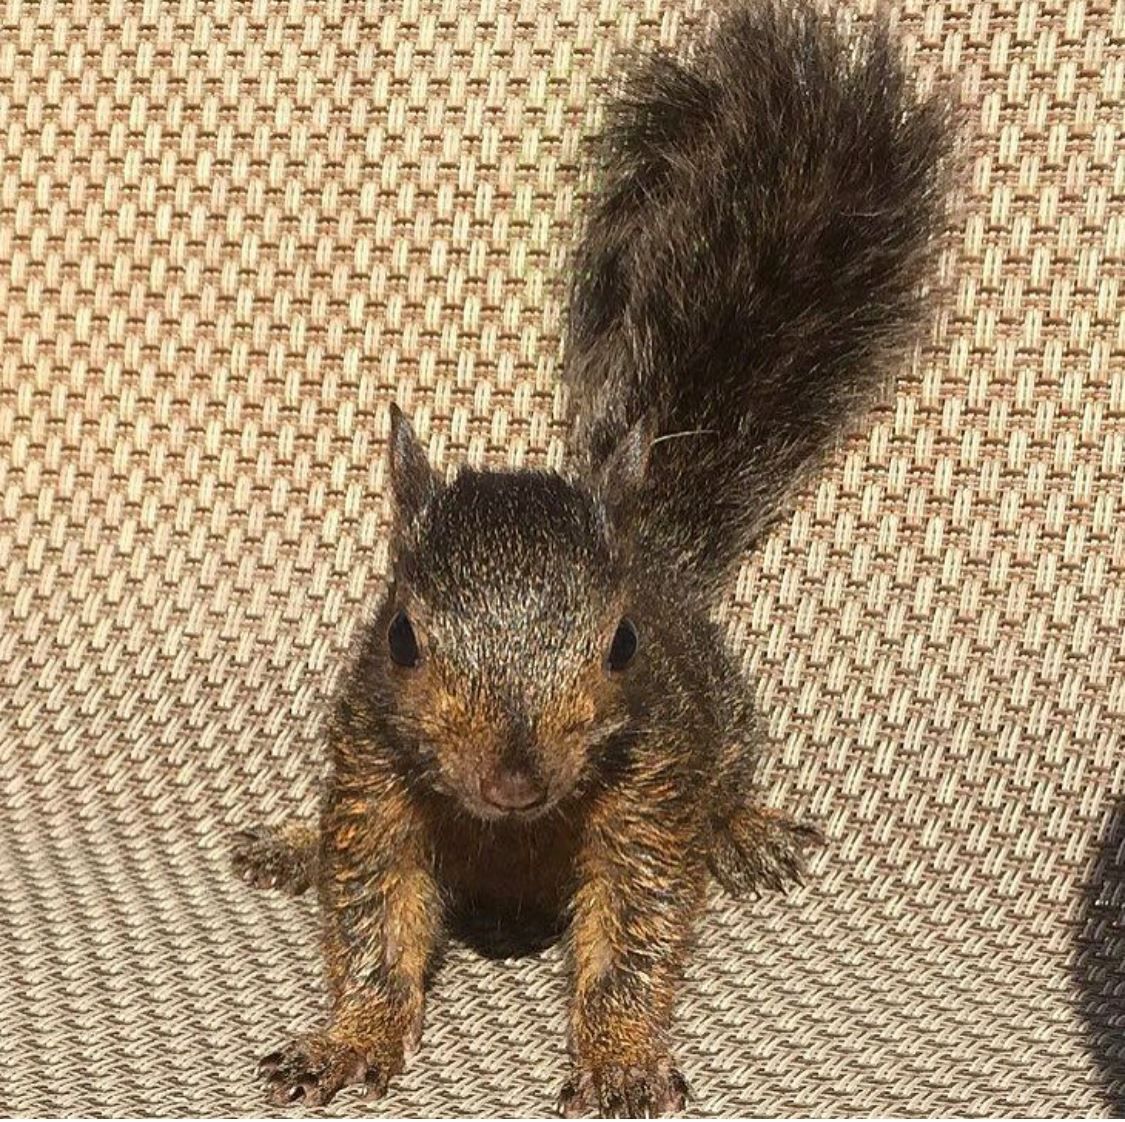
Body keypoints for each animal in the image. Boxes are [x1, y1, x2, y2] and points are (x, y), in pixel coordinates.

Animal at [231, 0, 951, 1115]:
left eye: (621, 646)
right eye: (400, 637)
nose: (514, 776)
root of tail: (655, 545)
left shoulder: (646, 796)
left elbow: (634, 933)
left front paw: (618, 1059)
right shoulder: (374, 777)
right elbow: (371, 918)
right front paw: (347, 1036)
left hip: (723, 719)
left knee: (722, 787)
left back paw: (741, 830)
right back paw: (293, 844)